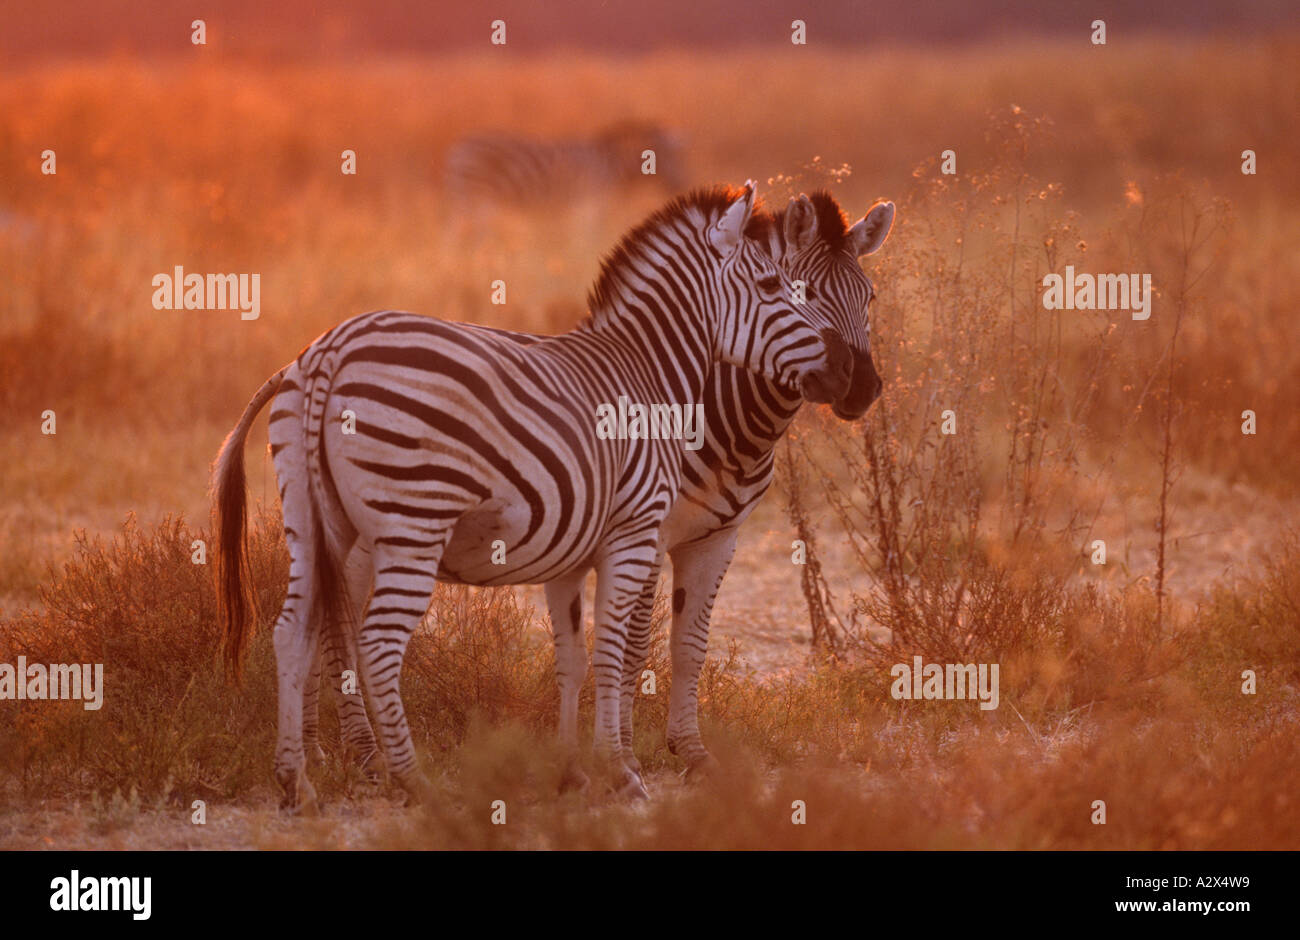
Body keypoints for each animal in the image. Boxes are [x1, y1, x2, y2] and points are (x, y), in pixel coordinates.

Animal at [213, 183, 857, 812]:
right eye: (773, 286)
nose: (849, 374)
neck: (647, 372)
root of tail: (325, 352)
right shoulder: (634, 533)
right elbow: (614, 652)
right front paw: (621, 772)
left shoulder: (568, 555)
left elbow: (570, 657)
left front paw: (572, 774)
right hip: (412, 522)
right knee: (375, 643)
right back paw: (412, 782)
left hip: (312, 523)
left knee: (292, 631)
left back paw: (297, 782)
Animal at [443, 121, 686, 208]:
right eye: (669, 158)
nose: (680, 186)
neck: (611, 165)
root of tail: (460, 146)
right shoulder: (591, 203)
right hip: (479, 196)